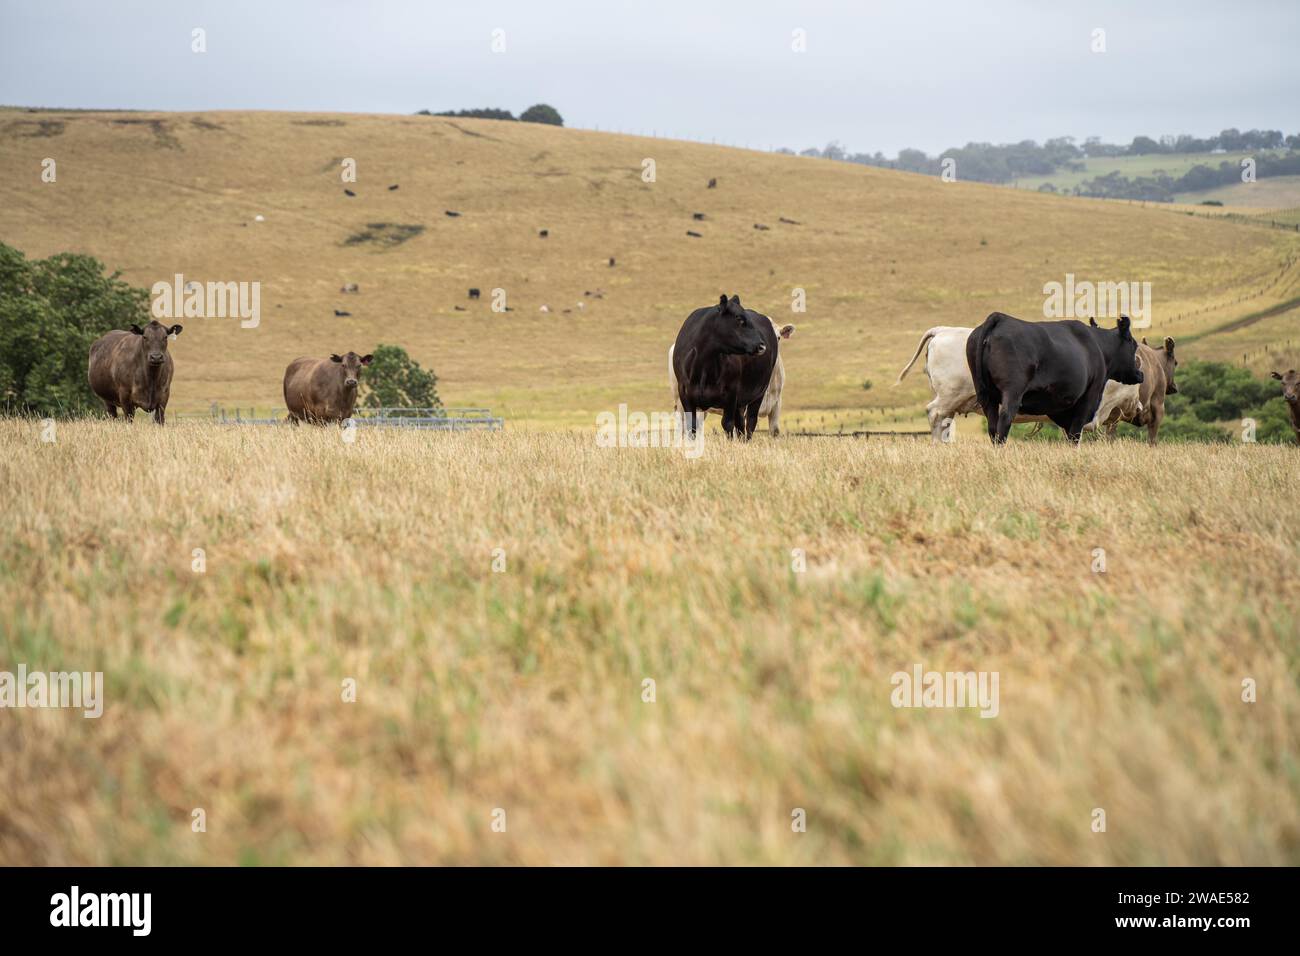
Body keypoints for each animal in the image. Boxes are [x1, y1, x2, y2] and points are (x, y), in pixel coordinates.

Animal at [672, 294, 776, 439]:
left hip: (759, 392)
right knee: (740, 423)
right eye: (739, 319)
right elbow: (691, 425)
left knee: (750, 422)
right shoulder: (684, 392)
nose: (762, 346)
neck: (703, 366)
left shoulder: (731, 392)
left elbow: (727, 424)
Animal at [966, 312, 1143, 444]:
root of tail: (1000, 318)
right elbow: (1075, 434)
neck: (1098, 346)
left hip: (987, 395)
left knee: (992, 427)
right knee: (1005, 419)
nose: (1140, 374)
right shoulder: (1088, 398)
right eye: (1133, 343)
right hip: (1013, 391)